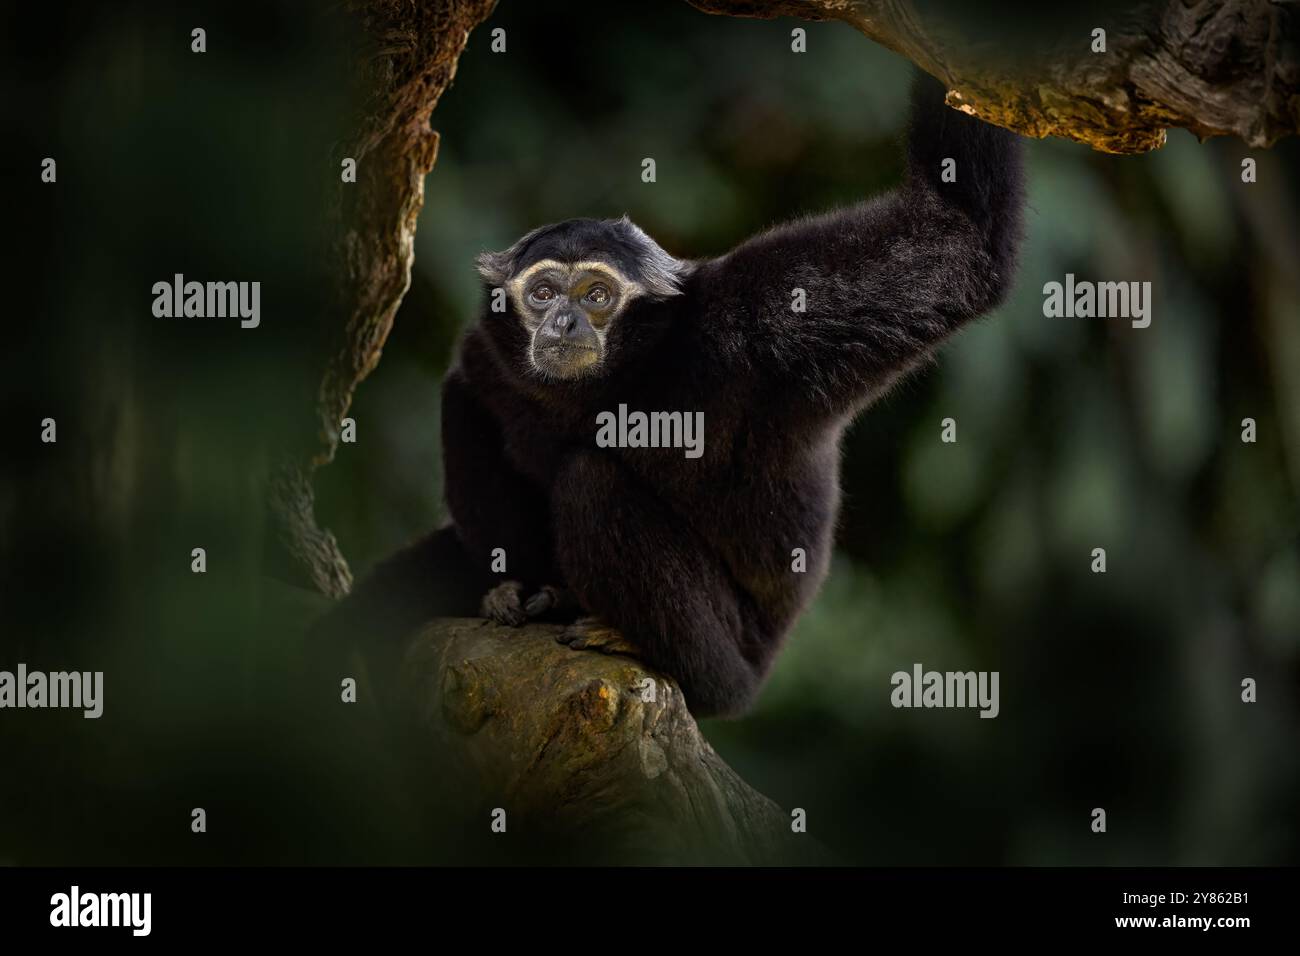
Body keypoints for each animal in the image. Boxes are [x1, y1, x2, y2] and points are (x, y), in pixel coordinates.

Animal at [319, 73, 1024, 719]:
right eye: (542, 293)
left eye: (596, 295)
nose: (562, 324)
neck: (618, 383)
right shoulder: (487, 350)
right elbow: (468, 390)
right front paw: (508, 586)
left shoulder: (762, 316)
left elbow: (957, 239)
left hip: (733, 641)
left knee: (592, 485)